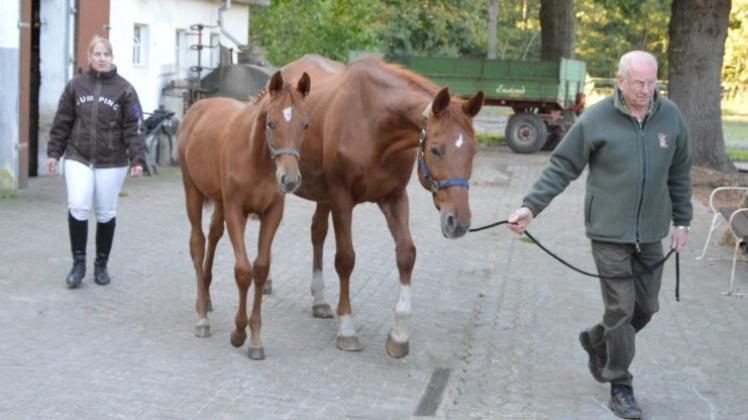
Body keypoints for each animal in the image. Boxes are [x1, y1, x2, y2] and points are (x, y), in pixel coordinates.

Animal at [177, 71, 311, 360]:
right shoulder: (235, 211)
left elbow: (260, 269)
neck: (256, 158)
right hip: (193, 191)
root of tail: (197, 108)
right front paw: (238, 333)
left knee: (214, 234)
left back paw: (206, 296)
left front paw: (256, 340)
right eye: (271, 123)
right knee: (197, 242)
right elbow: (242, 271)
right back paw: (202, 316)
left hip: (218, 201)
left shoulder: (272, 214)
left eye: (305, 125)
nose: (290, 180)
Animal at [281, 55, 484, 358]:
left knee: (317, 234)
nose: (457, 222)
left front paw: (399, 335)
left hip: (322, 197)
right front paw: (347, 329)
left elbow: (406, 254)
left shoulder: (394, 197)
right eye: (435, 149)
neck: (373, 124)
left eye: (473, 151)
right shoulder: (342, 200)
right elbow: (345, 260)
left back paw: (320, 300)